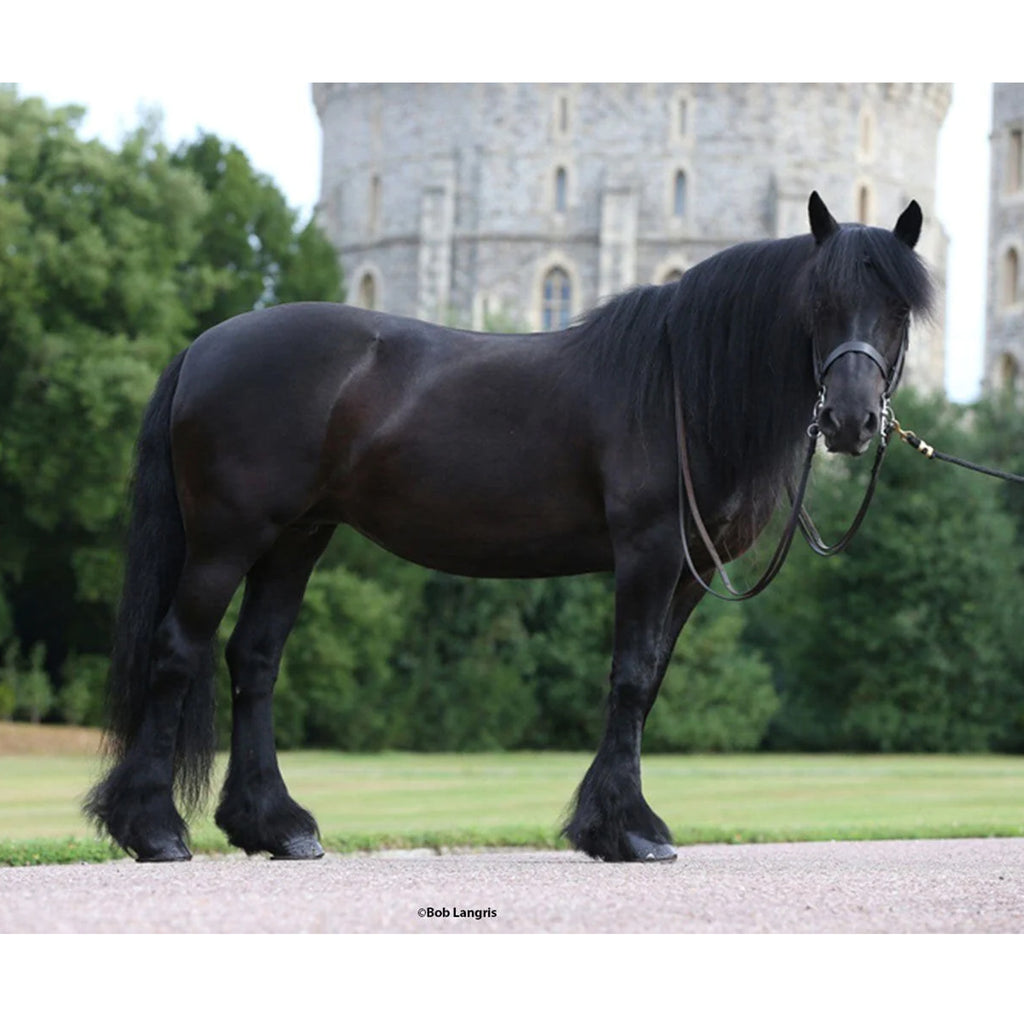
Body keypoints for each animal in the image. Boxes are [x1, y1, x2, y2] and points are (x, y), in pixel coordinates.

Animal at [84, 192, 932, 863]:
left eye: (898, 309)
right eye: (819, 301)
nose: (852, 421)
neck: (681, 387)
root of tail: (204, 346)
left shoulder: (690, 575)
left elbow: (651, 681)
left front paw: (612, 821)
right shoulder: (649, 554)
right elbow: (629, 679)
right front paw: (627, 830)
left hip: (297, 540)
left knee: (254, 661)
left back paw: (276, 827)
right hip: (226, 540)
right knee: (177, 651)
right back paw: (155, 830)